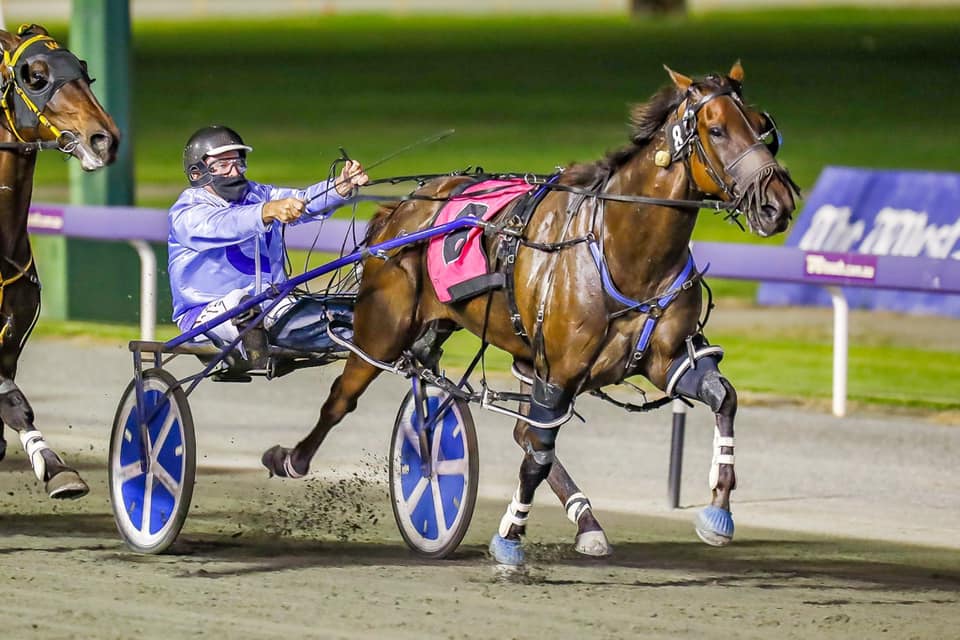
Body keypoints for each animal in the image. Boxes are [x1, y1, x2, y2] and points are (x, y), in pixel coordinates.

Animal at [0, 24, 119, 498]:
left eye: (84, 69)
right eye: (35, 76)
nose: (104, 139)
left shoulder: (11, 343)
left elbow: (15, 404)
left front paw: (58, 469)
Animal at [261, 62, 799, 564]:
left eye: (763, 125)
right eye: (717, 129)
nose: (779, 205)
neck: (622, 246)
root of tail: (402, 208)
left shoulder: (664, 362)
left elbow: (723, 398)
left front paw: (718, 511)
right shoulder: (558, 372)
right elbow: (538, 458)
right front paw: (509, 537)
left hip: (507, 349)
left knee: (523, 430)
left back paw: (587, 523)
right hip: (383, 329)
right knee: (342, 398)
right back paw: (292, 458)